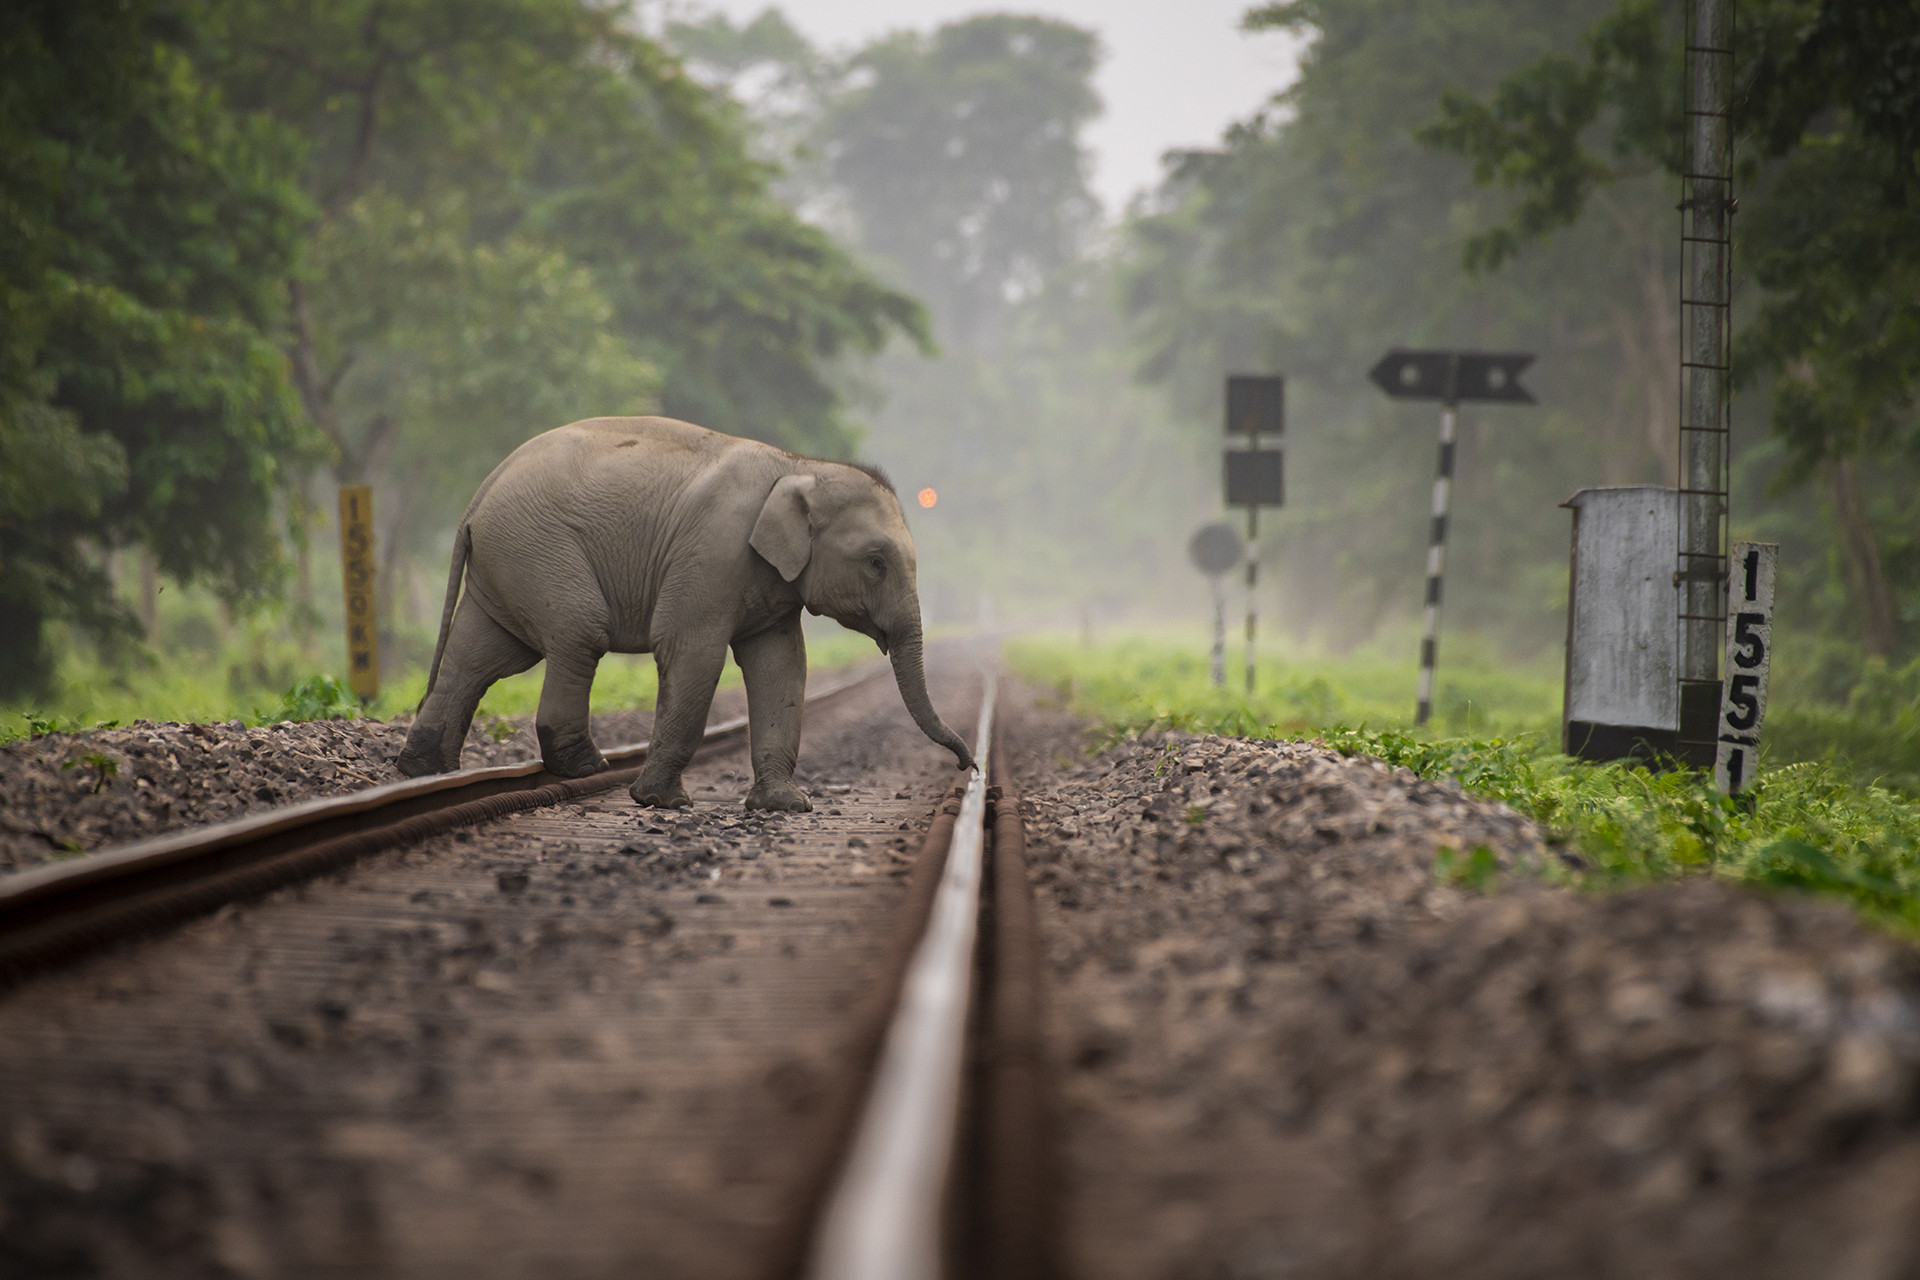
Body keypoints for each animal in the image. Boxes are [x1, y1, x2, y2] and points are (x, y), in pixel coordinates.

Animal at [394, 416, 974, 810]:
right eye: (876, 563)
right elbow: (691, 653)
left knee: (481, 657)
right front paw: (662, 802)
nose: (969, 765)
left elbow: (782, 665)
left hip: (507, 561)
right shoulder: (712, 552)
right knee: (577, 633)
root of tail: (478, 498)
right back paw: (588, 767)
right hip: (537, 549)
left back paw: (425, 772)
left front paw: (786, 806)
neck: (799, 466)